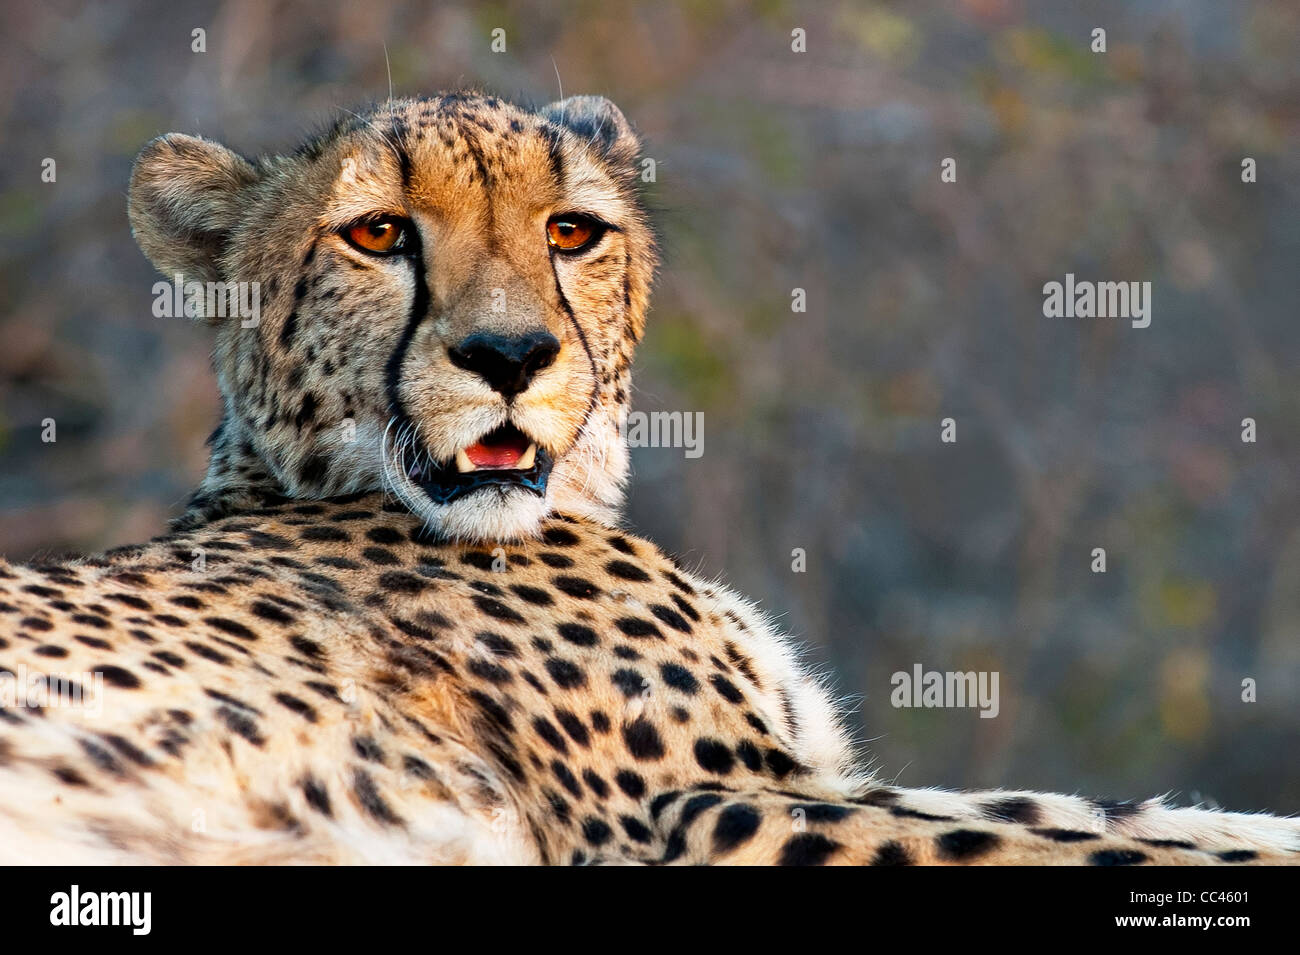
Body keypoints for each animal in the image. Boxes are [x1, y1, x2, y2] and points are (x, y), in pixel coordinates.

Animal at [0, 92, 1295, 865]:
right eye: (377, 235)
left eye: (571, 232)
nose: (510, 354)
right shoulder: (692, 806)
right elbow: (1113, 840)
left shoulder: (796, 770)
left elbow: (1137, 816)